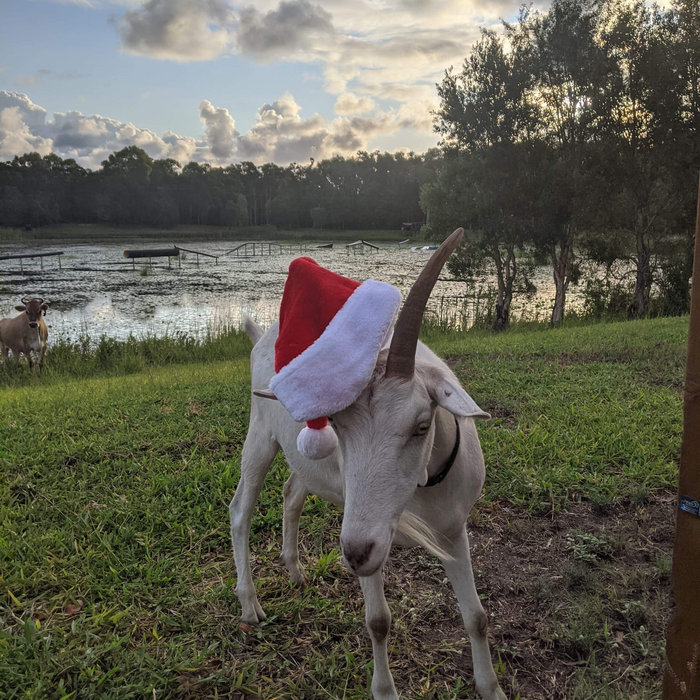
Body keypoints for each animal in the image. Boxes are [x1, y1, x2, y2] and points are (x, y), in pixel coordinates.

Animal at [229, 229, 506, 699]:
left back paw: (295, 571)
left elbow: (477, 616)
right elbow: (378, 621)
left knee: (291, 493)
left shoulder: (453, 529)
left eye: (421, 425)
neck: (422, 490)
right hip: (260, 436)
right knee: (240, 510)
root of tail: (260, 335)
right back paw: (250, 604)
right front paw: (385, 691)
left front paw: (491, 688)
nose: (355, 554)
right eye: (337, 424)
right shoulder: (366, 533)